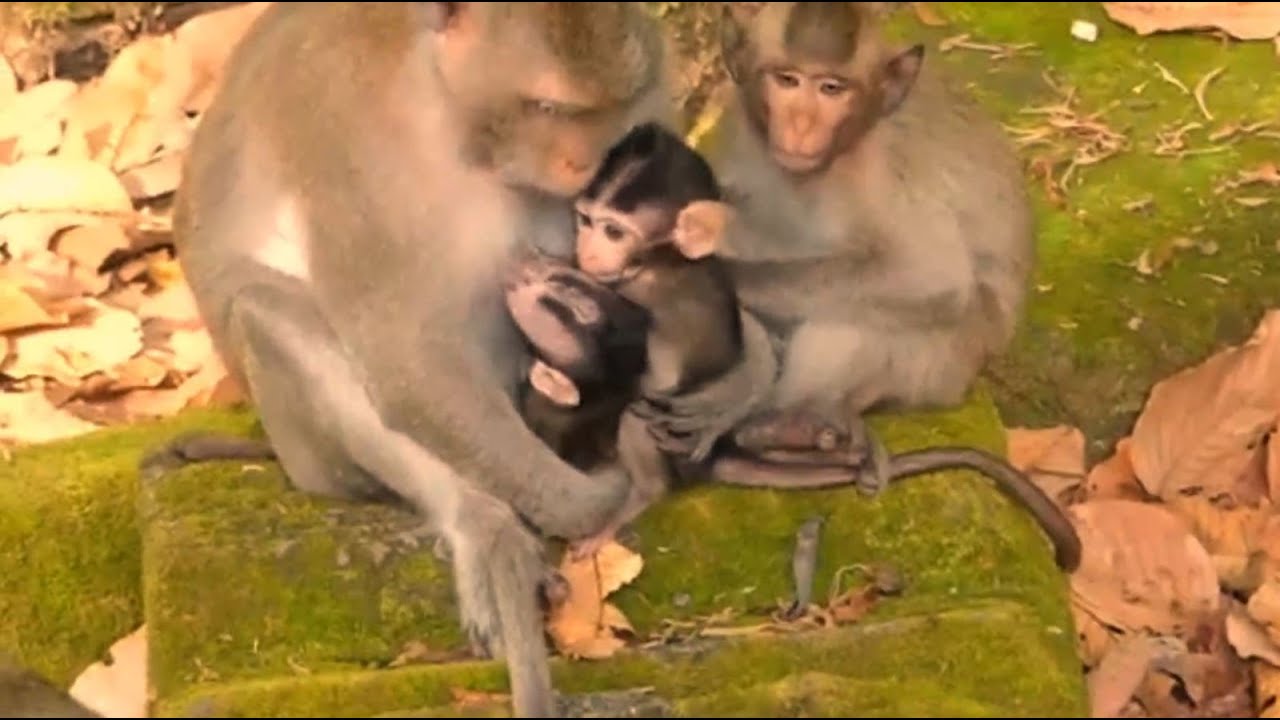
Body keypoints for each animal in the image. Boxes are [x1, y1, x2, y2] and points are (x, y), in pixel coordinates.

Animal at [168, 4, 677, 716]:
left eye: (609, 108)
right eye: (549, 106)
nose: (584, 161)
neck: (445, 105)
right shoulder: (350, 140)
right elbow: (404, 362)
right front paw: (590, 502)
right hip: (312, 461)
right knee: (267, 313)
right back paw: (483, 519)